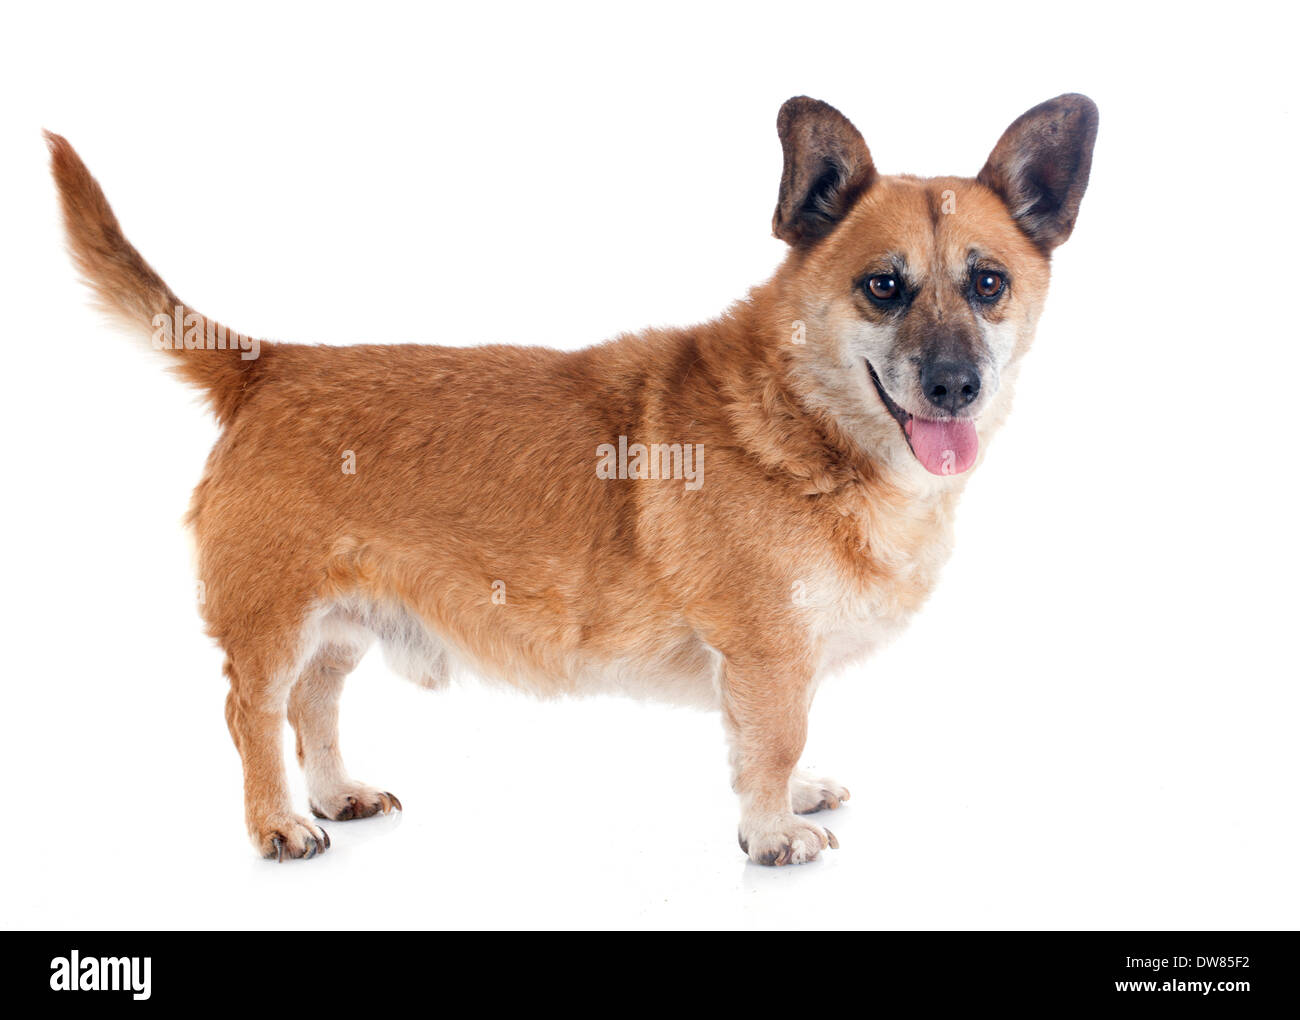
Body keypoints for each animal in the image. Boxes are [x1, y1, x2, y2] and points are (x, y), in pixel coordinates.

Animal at [45, 93, 1092, 857]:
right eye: (883, 285)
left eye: (988, 284)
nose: (956, 385)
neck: (803, 417)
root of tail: (266, 363)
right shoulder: (766, 652)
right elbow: (771, 739)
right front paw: (771, 832)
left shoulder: (770, 665)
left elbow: (760, 741)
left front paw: (788, 798)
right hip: (273, 622)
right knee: (253, 714)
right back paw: (277, 822)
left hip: (341, 622)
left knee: (316, 707)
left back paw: (335, 794)